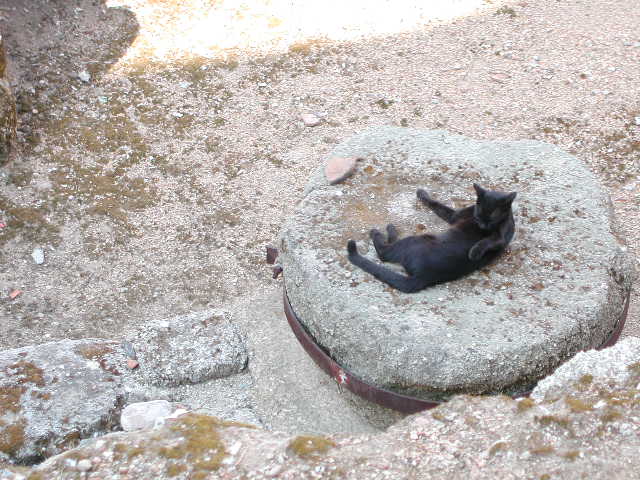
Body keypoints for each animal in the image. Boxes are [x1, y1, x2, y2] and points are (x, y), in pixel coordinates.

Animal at [348, 184, 516, 292]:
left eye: (492, 216)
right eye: (479, 212)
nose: (482, 224)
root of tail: (422, 277)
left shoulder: (500, 235)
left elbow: (491, 240)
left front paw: (475, 252)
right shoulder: (456, 216)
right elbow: (436, 204)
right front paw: (422, 194)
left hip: (416, 240)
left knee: (384, 253)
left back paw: (381, 231)